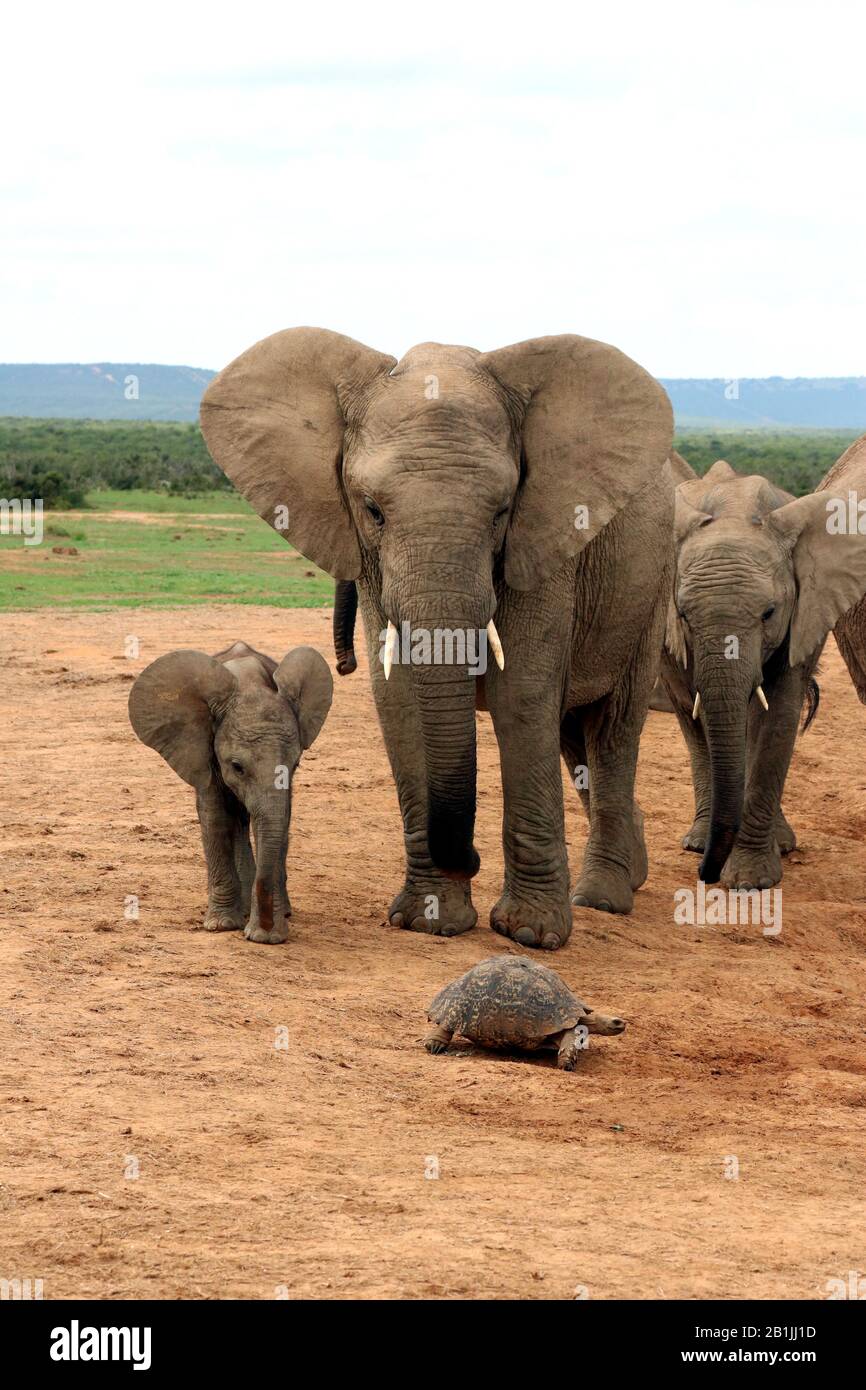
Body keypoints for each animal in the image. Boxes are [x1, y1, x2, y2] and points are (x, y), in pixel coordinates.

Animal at [128, 639, 333, 944]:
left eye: (296, 763)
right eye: (237, 766)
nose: (265, 935)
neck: (248, 683)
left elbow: (278, 821)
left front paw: (266, 932)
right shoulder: (203, 748)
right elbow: (216, 818)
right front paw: (222, 925)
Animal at [199, 327, 676, 949]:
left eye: (502, 512)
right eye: (373, 510)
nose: (468, 856)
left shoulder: (543, 540)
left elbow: (522, 695)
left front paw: (531, 935)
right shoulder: (375, 567)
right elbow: (399, 700)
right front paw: (427, 921)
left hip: (651, 586)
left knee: (612, 728)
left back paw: (603, 898)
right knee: (574, 734)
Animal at [661, 456, 866, 888]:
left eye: (769, 613)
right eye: (684, 615)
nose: (706, 876)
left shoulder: (806, 606)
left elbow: (777, 715)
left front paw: (751, 881)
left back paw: (779, 844)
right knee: (691, 714)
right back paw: (698, 842)